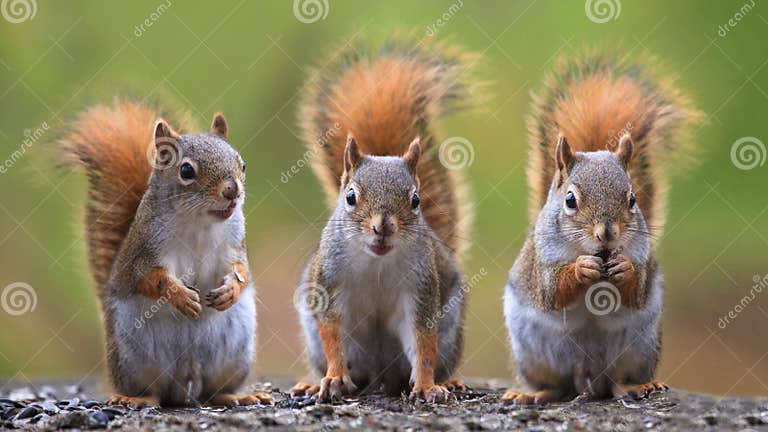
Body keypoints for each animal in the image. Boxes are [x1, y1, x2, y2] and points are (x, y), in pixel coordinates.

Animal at [59, 101, 270, 407]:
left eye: (242, 164)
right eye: (186, 171)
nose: (233, 190)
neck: (200, 222)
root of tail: (187, 382)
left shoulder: (234, 246)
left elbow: (241, 270)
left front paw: (230, 290)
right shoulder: (144, 253)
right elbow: (151, 279)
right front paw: (180, 296)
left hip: (234, 356)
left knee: (215, 392)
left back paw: (237, 395)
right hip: (134, 360)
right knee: (154, 392)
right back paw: (135, 399)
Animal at [289, 38, 475, 403]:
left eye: (416, 200)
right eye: (350, 197)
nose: (383, 227)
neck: (375, 263)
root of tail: (381, 376)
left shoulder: (420, 289)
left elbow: (423, 342)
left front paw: (427, 386)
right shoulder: (329, 285)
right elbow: (332, 335)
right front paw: (334, 378)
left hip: (450, 337)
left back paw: (449, 382)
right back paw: (315, 382)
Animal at [503, 53, 701, 404]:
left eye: (632, 198)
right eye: (570, 200)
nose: (607, 234)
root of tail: (588, 375)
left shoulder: (642, 259)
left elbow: (636, 290)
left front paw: (623, 268)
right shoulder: (543, 263)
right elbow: (553, 292)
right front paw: (582, 268)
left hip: (639, 349)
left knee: (618, 382)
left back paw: (638, 386)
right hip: (535, 354)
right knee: (557, 386)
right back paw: (534, 393)